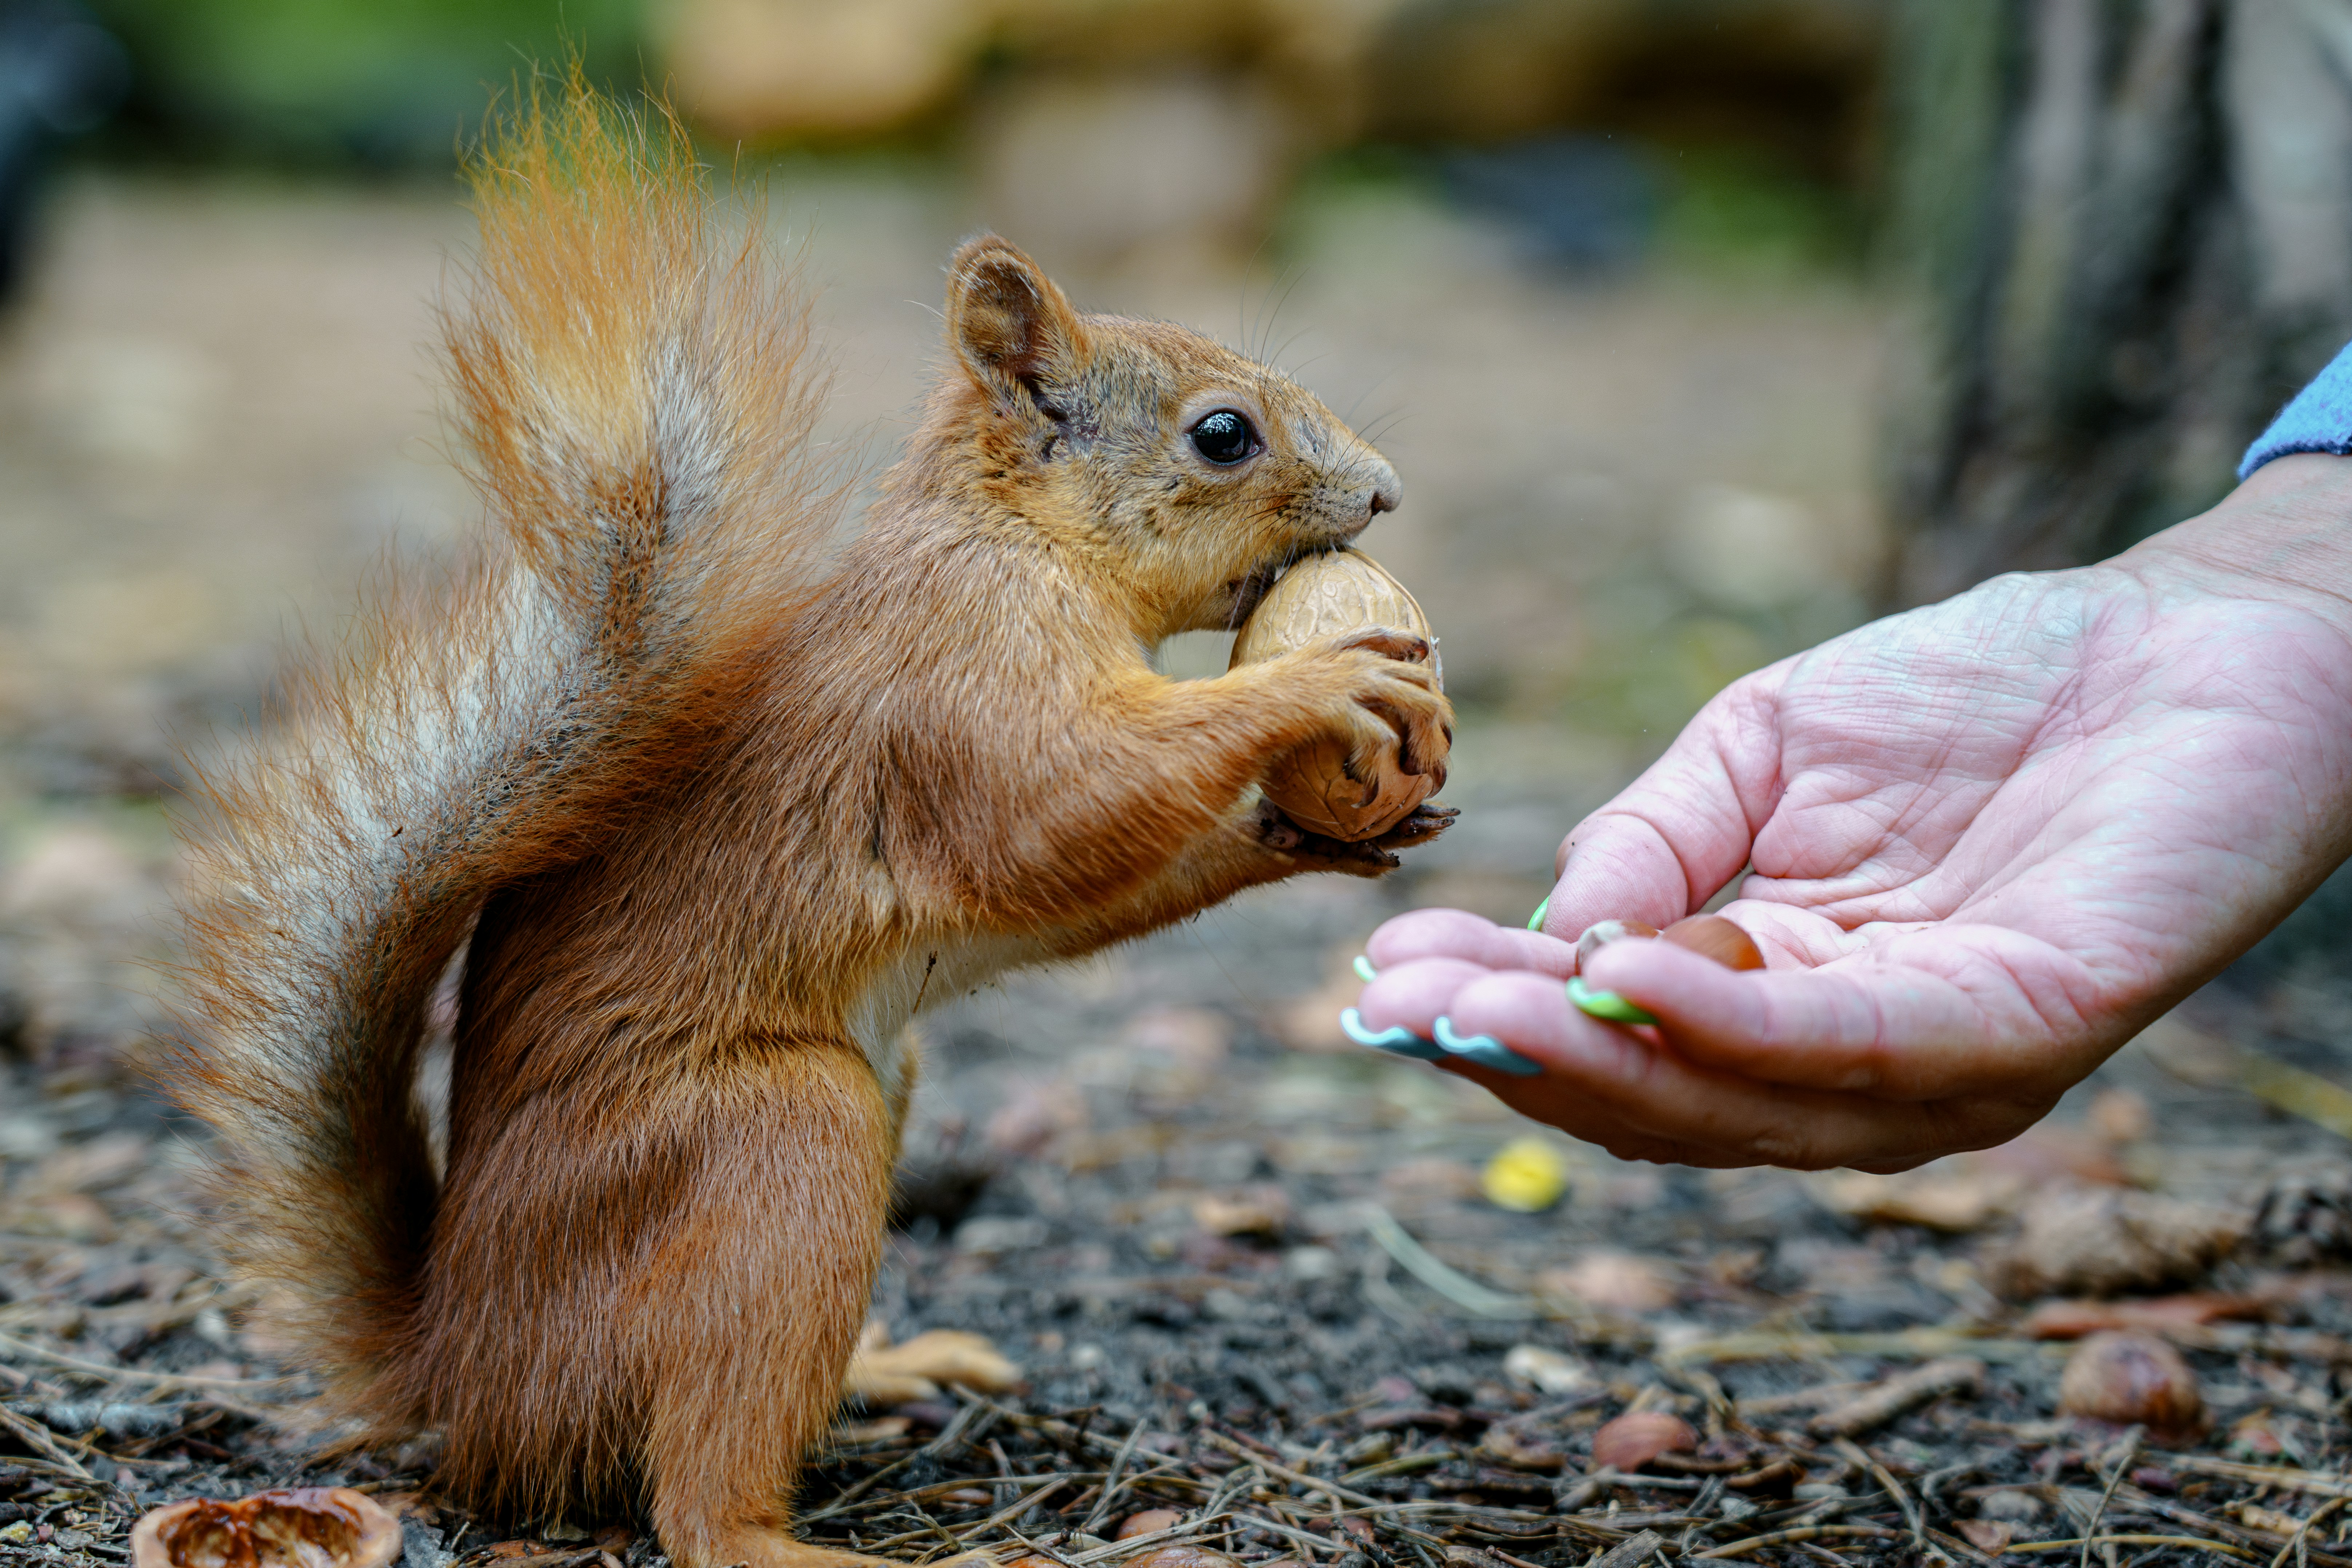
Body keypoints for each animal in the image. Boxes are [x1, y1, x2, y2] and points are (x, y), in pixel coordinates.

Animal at [171, 78, 1453, 1568]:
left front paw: (1312, 835)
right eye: (1223, 434)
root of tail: (458, 1375)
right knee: (695, 1498)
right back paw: (790, 1535)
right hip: (785, 1131)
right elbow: (1053, 809)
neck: (1016, 540)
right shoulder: (959, 682)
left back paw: (892, 1367)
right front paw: (1316, 681)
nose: (1387, 491)